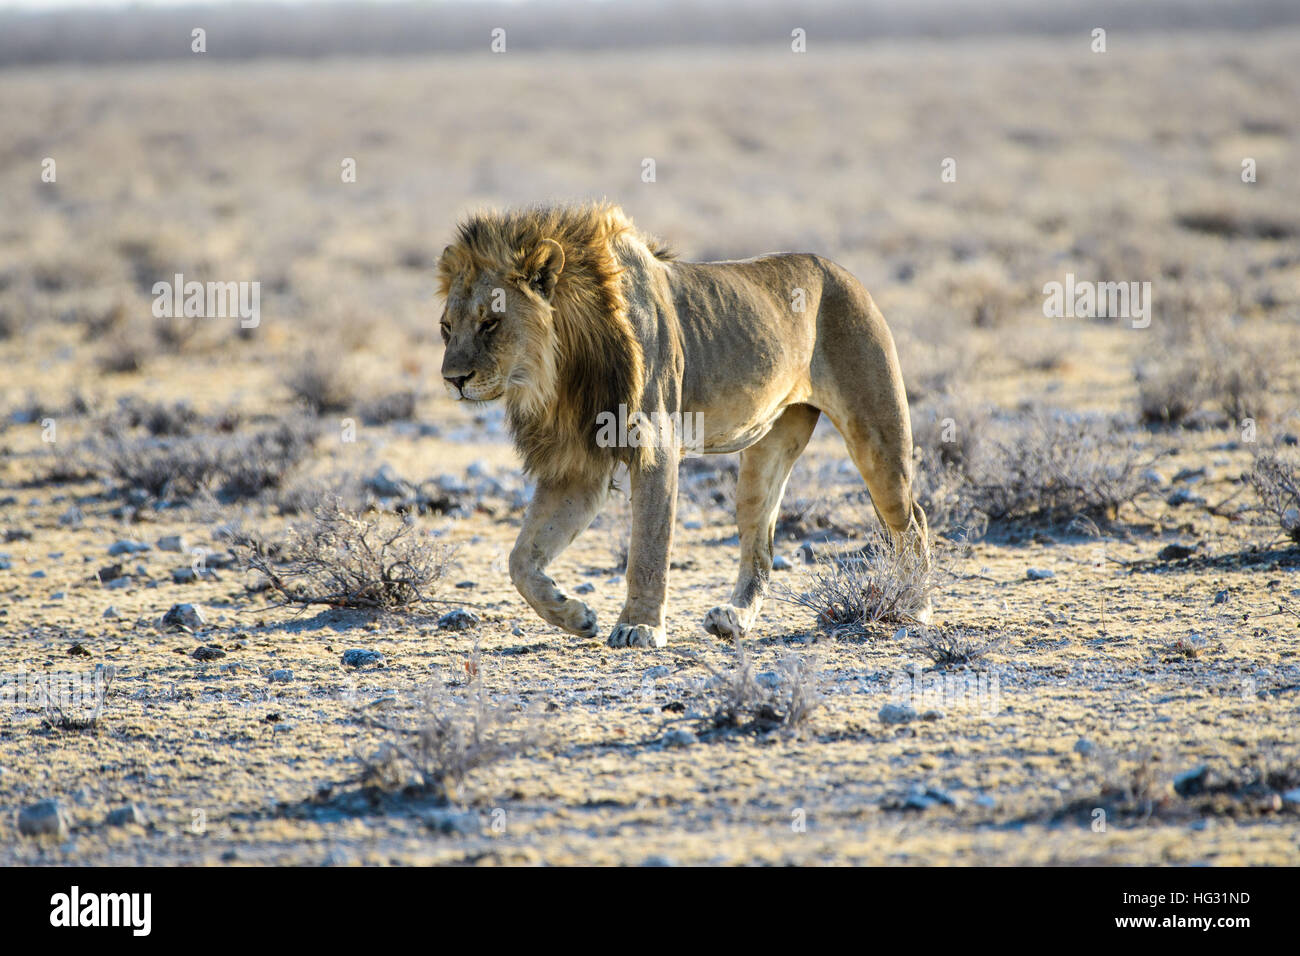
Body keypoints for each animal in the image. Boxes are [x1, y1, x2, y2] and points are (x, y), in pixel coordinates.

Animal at [436, 202, 929, 648]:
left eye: (490, 323)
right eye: (446, 328)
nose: (452, 380)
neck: (560, 370)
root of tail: (843, 272)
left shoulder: (654, 444)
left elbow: (648, 549)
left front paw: (639, 627)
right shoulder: (576, 467)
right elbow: (521, 558)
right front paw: (574, 614)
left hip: (877, 437)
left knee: (912, 520)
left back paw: (915, 605)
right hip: (768, 449)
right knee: (762, 544)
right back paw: (734, 619)